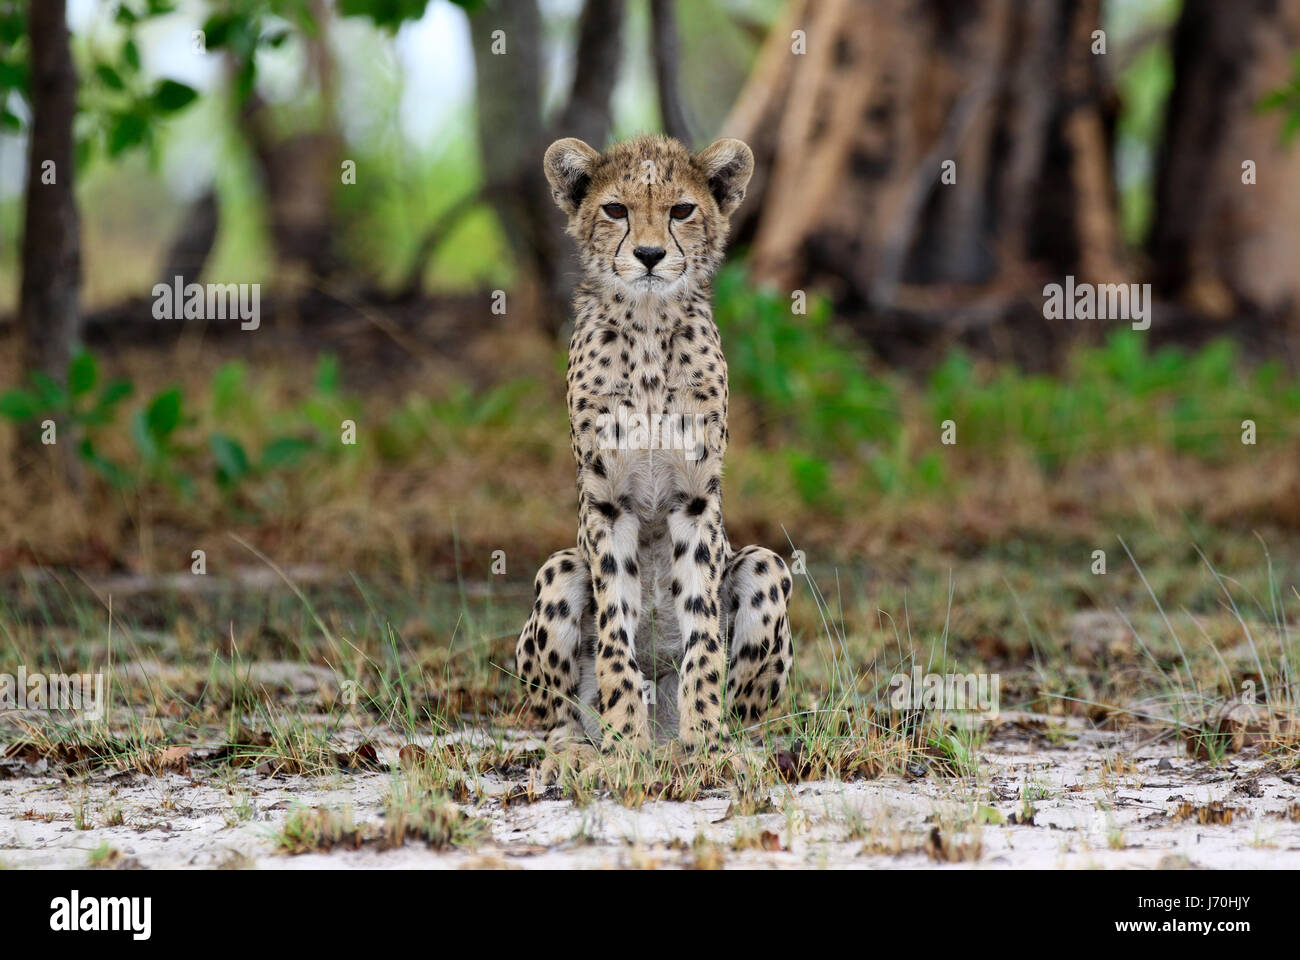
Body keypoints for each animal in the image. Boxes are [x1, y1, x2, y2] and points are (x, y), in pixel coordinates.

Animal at [514, 133, 793, 767]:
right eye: (616, 209)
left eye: (682, 210)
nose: (647, 255)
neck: (646, 327)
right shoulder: (607, 502)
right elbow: (616, 637)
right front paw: (623, 745)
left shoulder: (695, 499)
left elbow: (703, 636)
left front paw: (706, 740)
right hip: (559, 570)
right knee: (558, 713)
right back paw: (582, 750)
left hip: (763, 565)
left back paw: (713, 743)